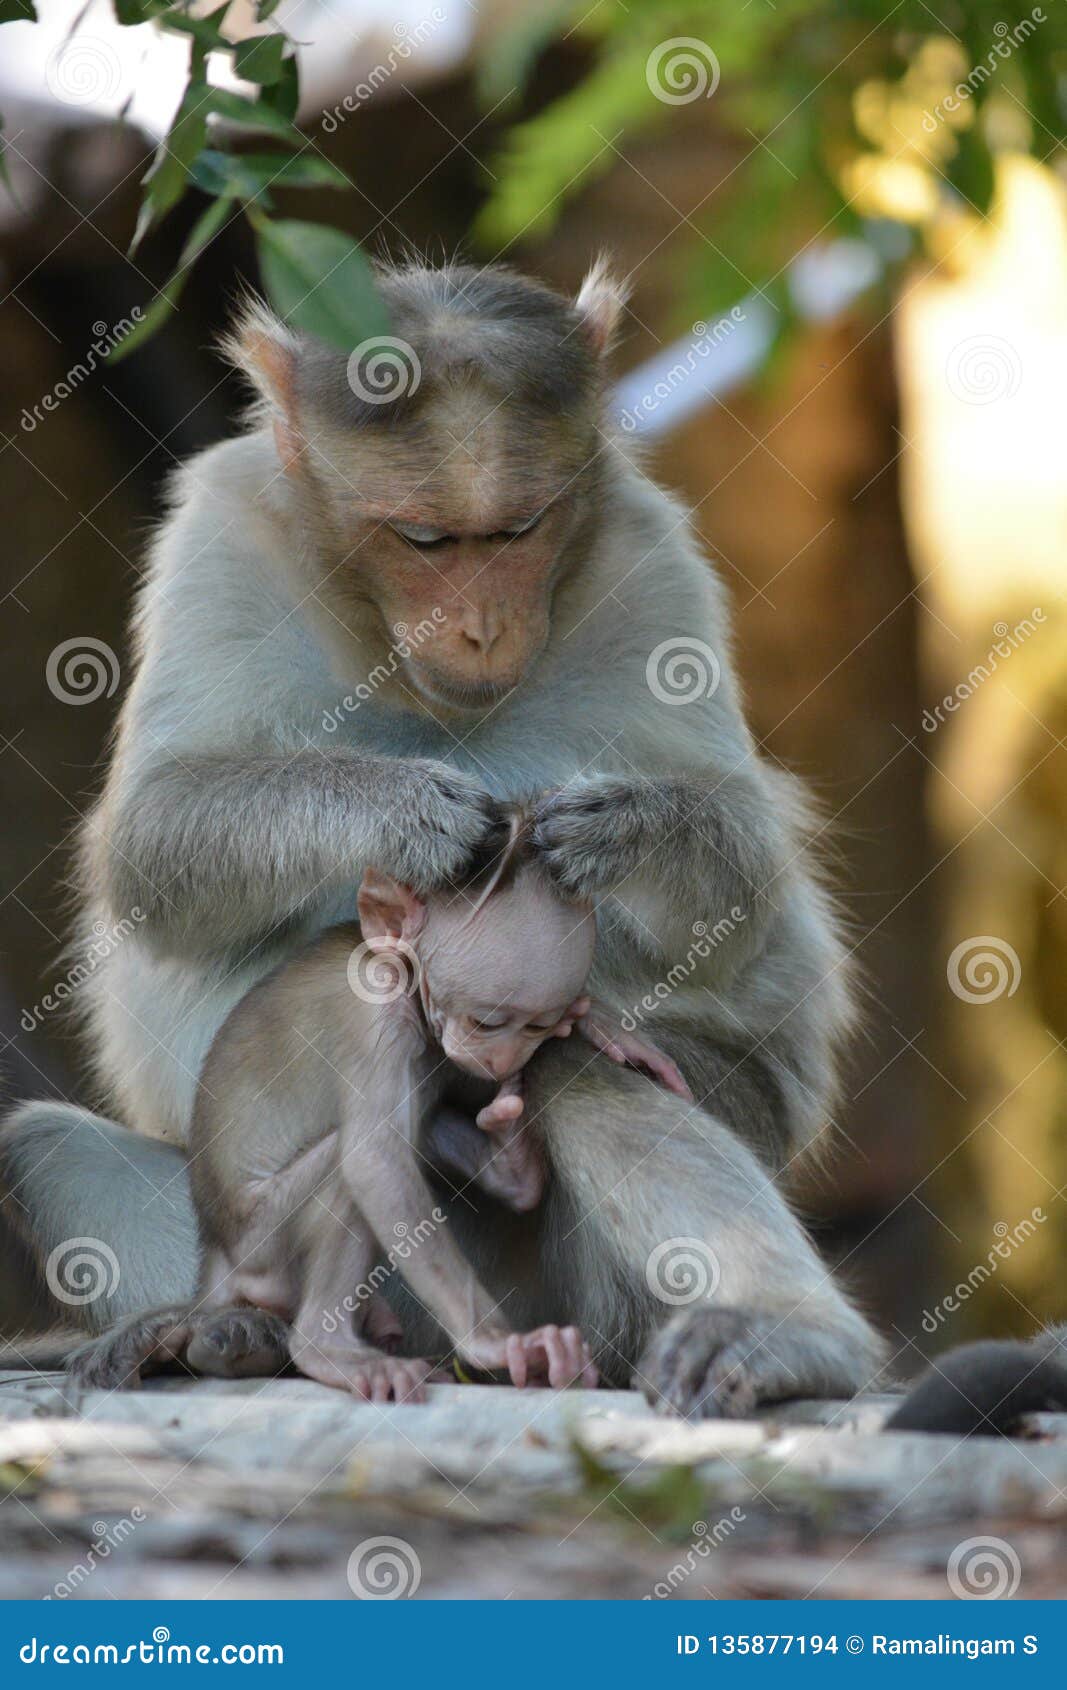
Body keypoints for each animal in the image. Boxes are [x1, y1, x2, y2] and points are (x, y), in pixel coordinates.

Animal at [0, 258, 886, 1416]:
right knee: (43, 1150)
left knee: (582, 1071)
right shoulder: (222, 524)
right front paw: (406, 810)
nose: (480, 626)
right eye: (424, 541)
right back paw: (238, 1334)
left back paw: (781, 1335)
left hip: (577, 1291)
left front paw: (624, 829)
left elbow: (744, 880)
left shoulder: (648, 550)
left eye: (516, 530)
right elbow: (149, 839)